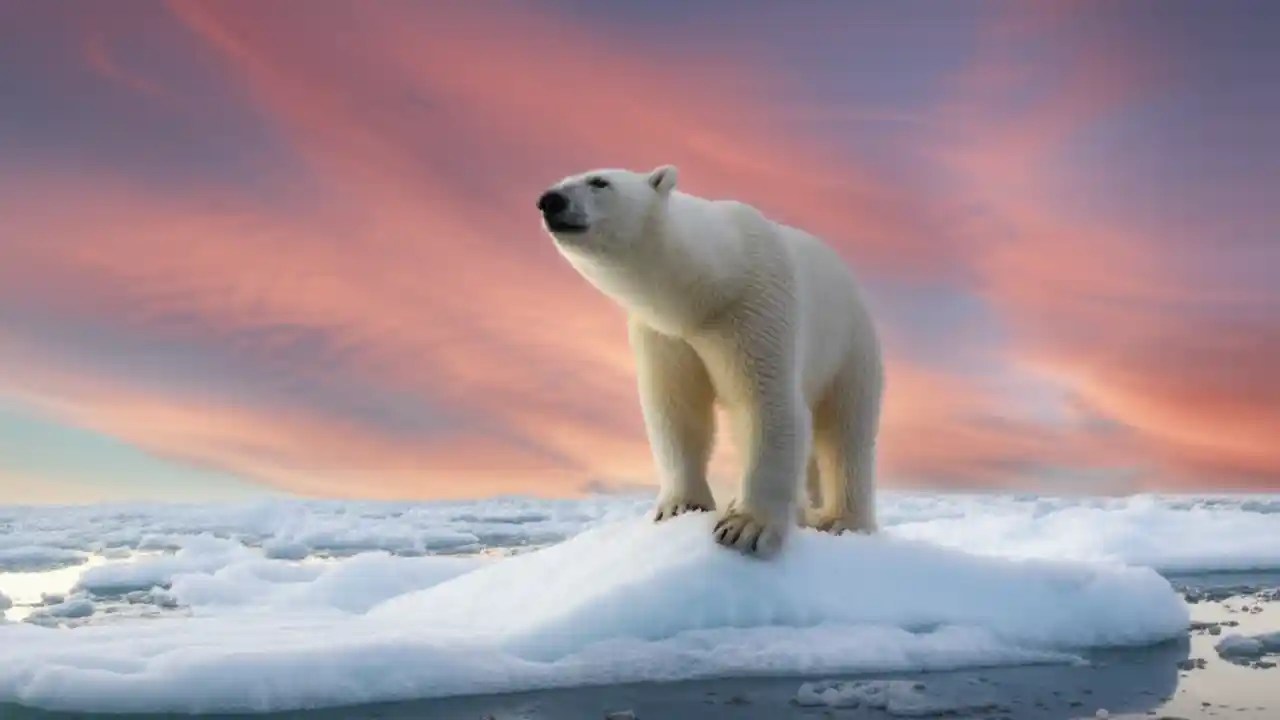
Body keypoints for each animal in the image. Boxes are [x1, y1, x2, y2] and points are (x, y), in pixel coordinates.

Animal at [537, 165, 883, 556]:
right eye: (562, 181)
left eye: (599, 182)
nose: (550, 201)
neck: (711, 283)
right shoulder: (664, 335)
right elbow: (676, 410)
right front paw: (680, 506)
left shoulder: (756, 308)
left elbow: (766, 404)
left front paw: (744, 527)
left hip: (849, 347)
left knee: (845, 431)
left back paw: (843, 521)